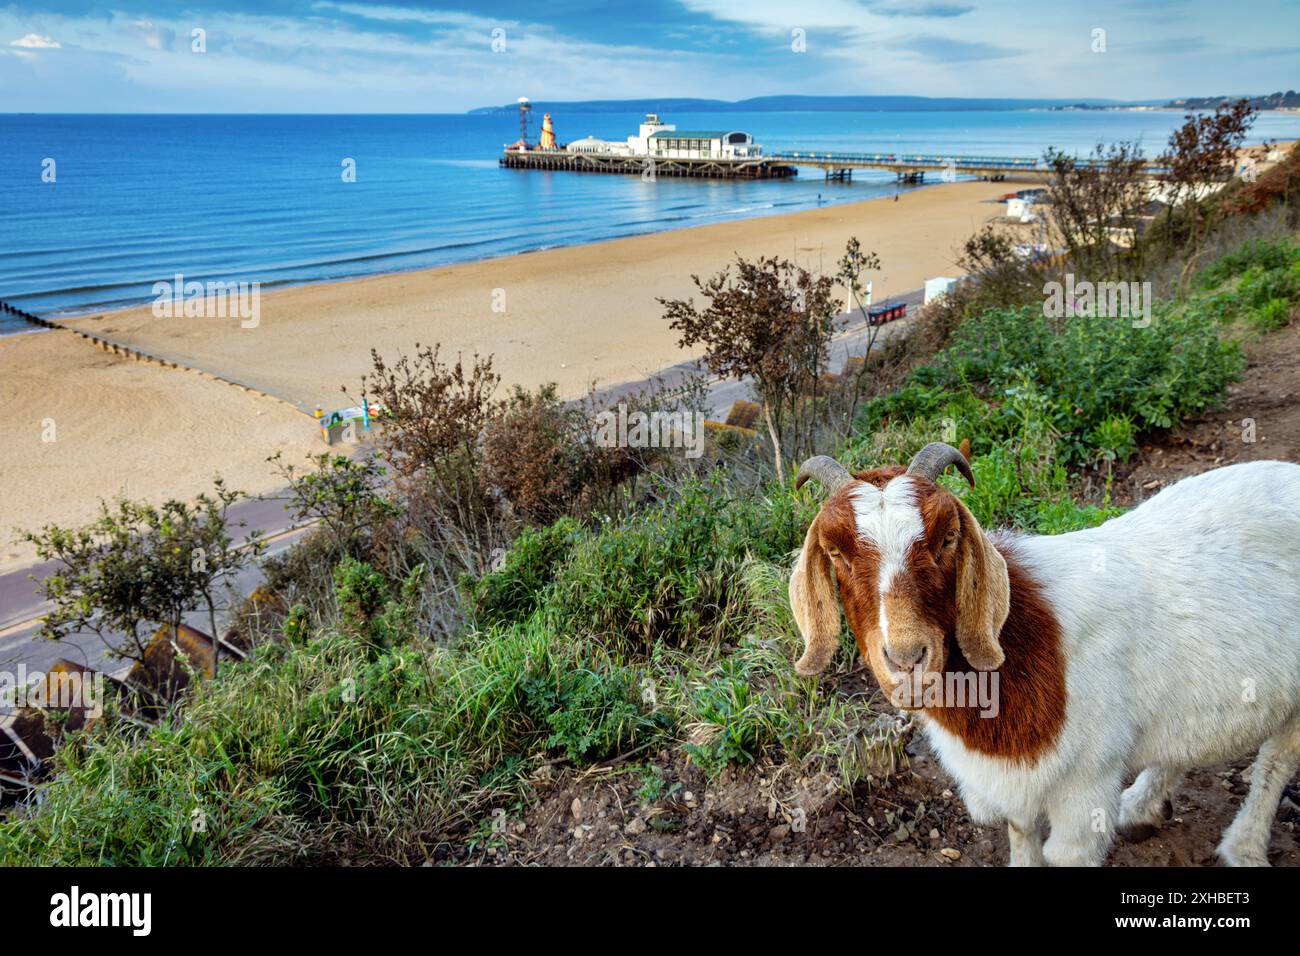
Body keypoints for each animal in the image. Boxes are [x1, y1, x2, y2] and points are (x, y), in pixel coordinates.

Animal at [789, 443, 1300, 866]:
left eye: (947, 538)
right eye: (834, 552)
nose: (907, 657)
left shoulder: (1086, 786)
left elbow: (1064, 852)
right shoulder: (1016, 783)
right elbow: (1022, 835)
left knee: (1276, 762)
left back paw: (1244, 849)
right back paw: (1141, 808)